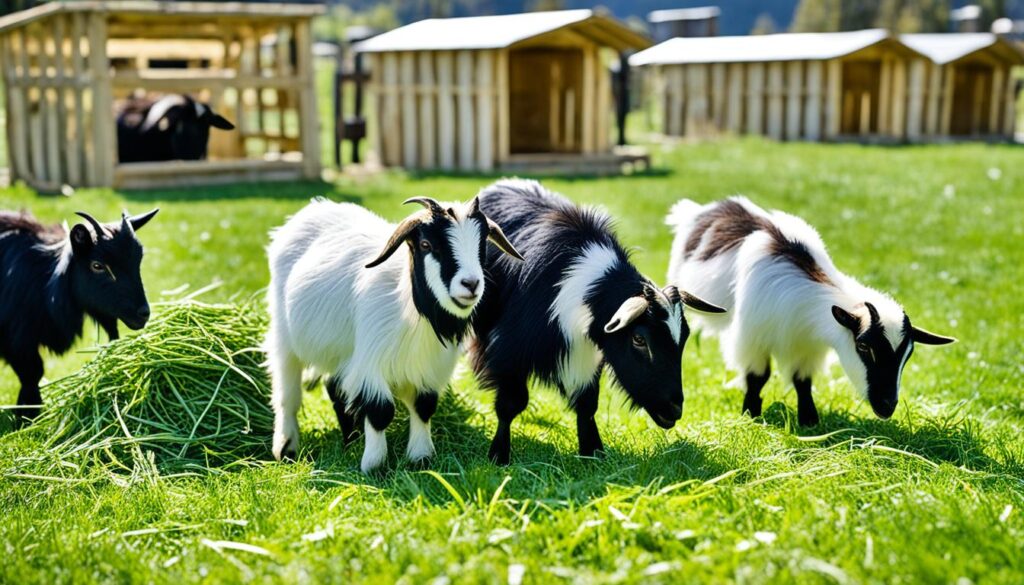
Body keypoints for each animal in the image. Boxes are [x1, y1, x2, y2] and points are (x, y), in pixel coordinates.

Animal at [0, 209, 159, 420]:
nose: (143, 313)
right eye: (97, 265)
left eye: (138, 261)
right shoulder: (18, 341)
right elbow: (33, 374)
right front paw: (28, 417)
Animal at [266, 197, 523, 473]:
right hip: (284, 337)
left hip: (341, 351)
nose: (471, 284)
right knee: (288, 395)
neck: (410, 309)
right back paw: (287, 448)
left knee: (334, 387)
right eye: (425, 244)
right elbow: (380, 411)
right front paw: (374, 465)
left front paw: (421, 458)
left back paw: (350, 442)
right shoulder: (370, 362)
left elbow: (424, 407)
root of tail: (315, 208)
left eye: (482, 244)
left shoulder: (427, 368)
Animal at [469, 179, 725, 465]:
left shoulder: (589, 354)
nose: (674, 409)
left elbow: (587, 404)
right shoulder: (508, 350)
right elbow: (510, 404)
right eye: (639, 339)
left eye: (685, 337)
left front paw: (593, 453)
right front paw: (498, 456)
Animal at [666, 197, 955, 426]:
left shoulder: (807, 347)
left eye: (908, 354)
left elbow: (802, 382)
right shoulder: (752, 338)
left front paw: (809, 420)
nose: (887, 406)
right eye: (863, 346)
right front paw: (751, 415)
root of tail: (701, 209)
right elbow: (757, 378)